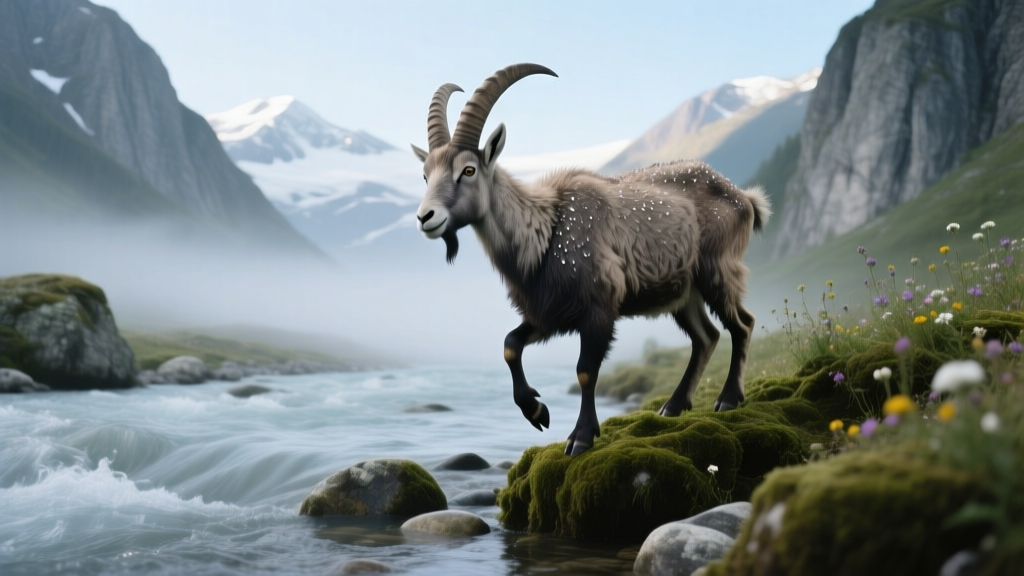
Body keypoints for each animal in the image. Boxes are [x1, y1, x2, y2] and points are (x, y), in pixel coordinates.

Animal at [412, 64, 771, 455]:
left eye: (469, 170)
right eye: (426, 174)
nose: (426, 217)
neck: (546, 232)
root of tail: (745, 199)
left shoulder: (598, 307)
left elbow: (585, 370)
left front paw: (581, 436)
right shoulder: (549, 310)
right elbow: (510, 345)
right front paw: (537, 412)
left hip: (717, 271)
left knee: (742, 324)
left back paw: (728, 398)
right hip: (682, 292)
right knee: (705, 336)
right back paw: (673, 406)